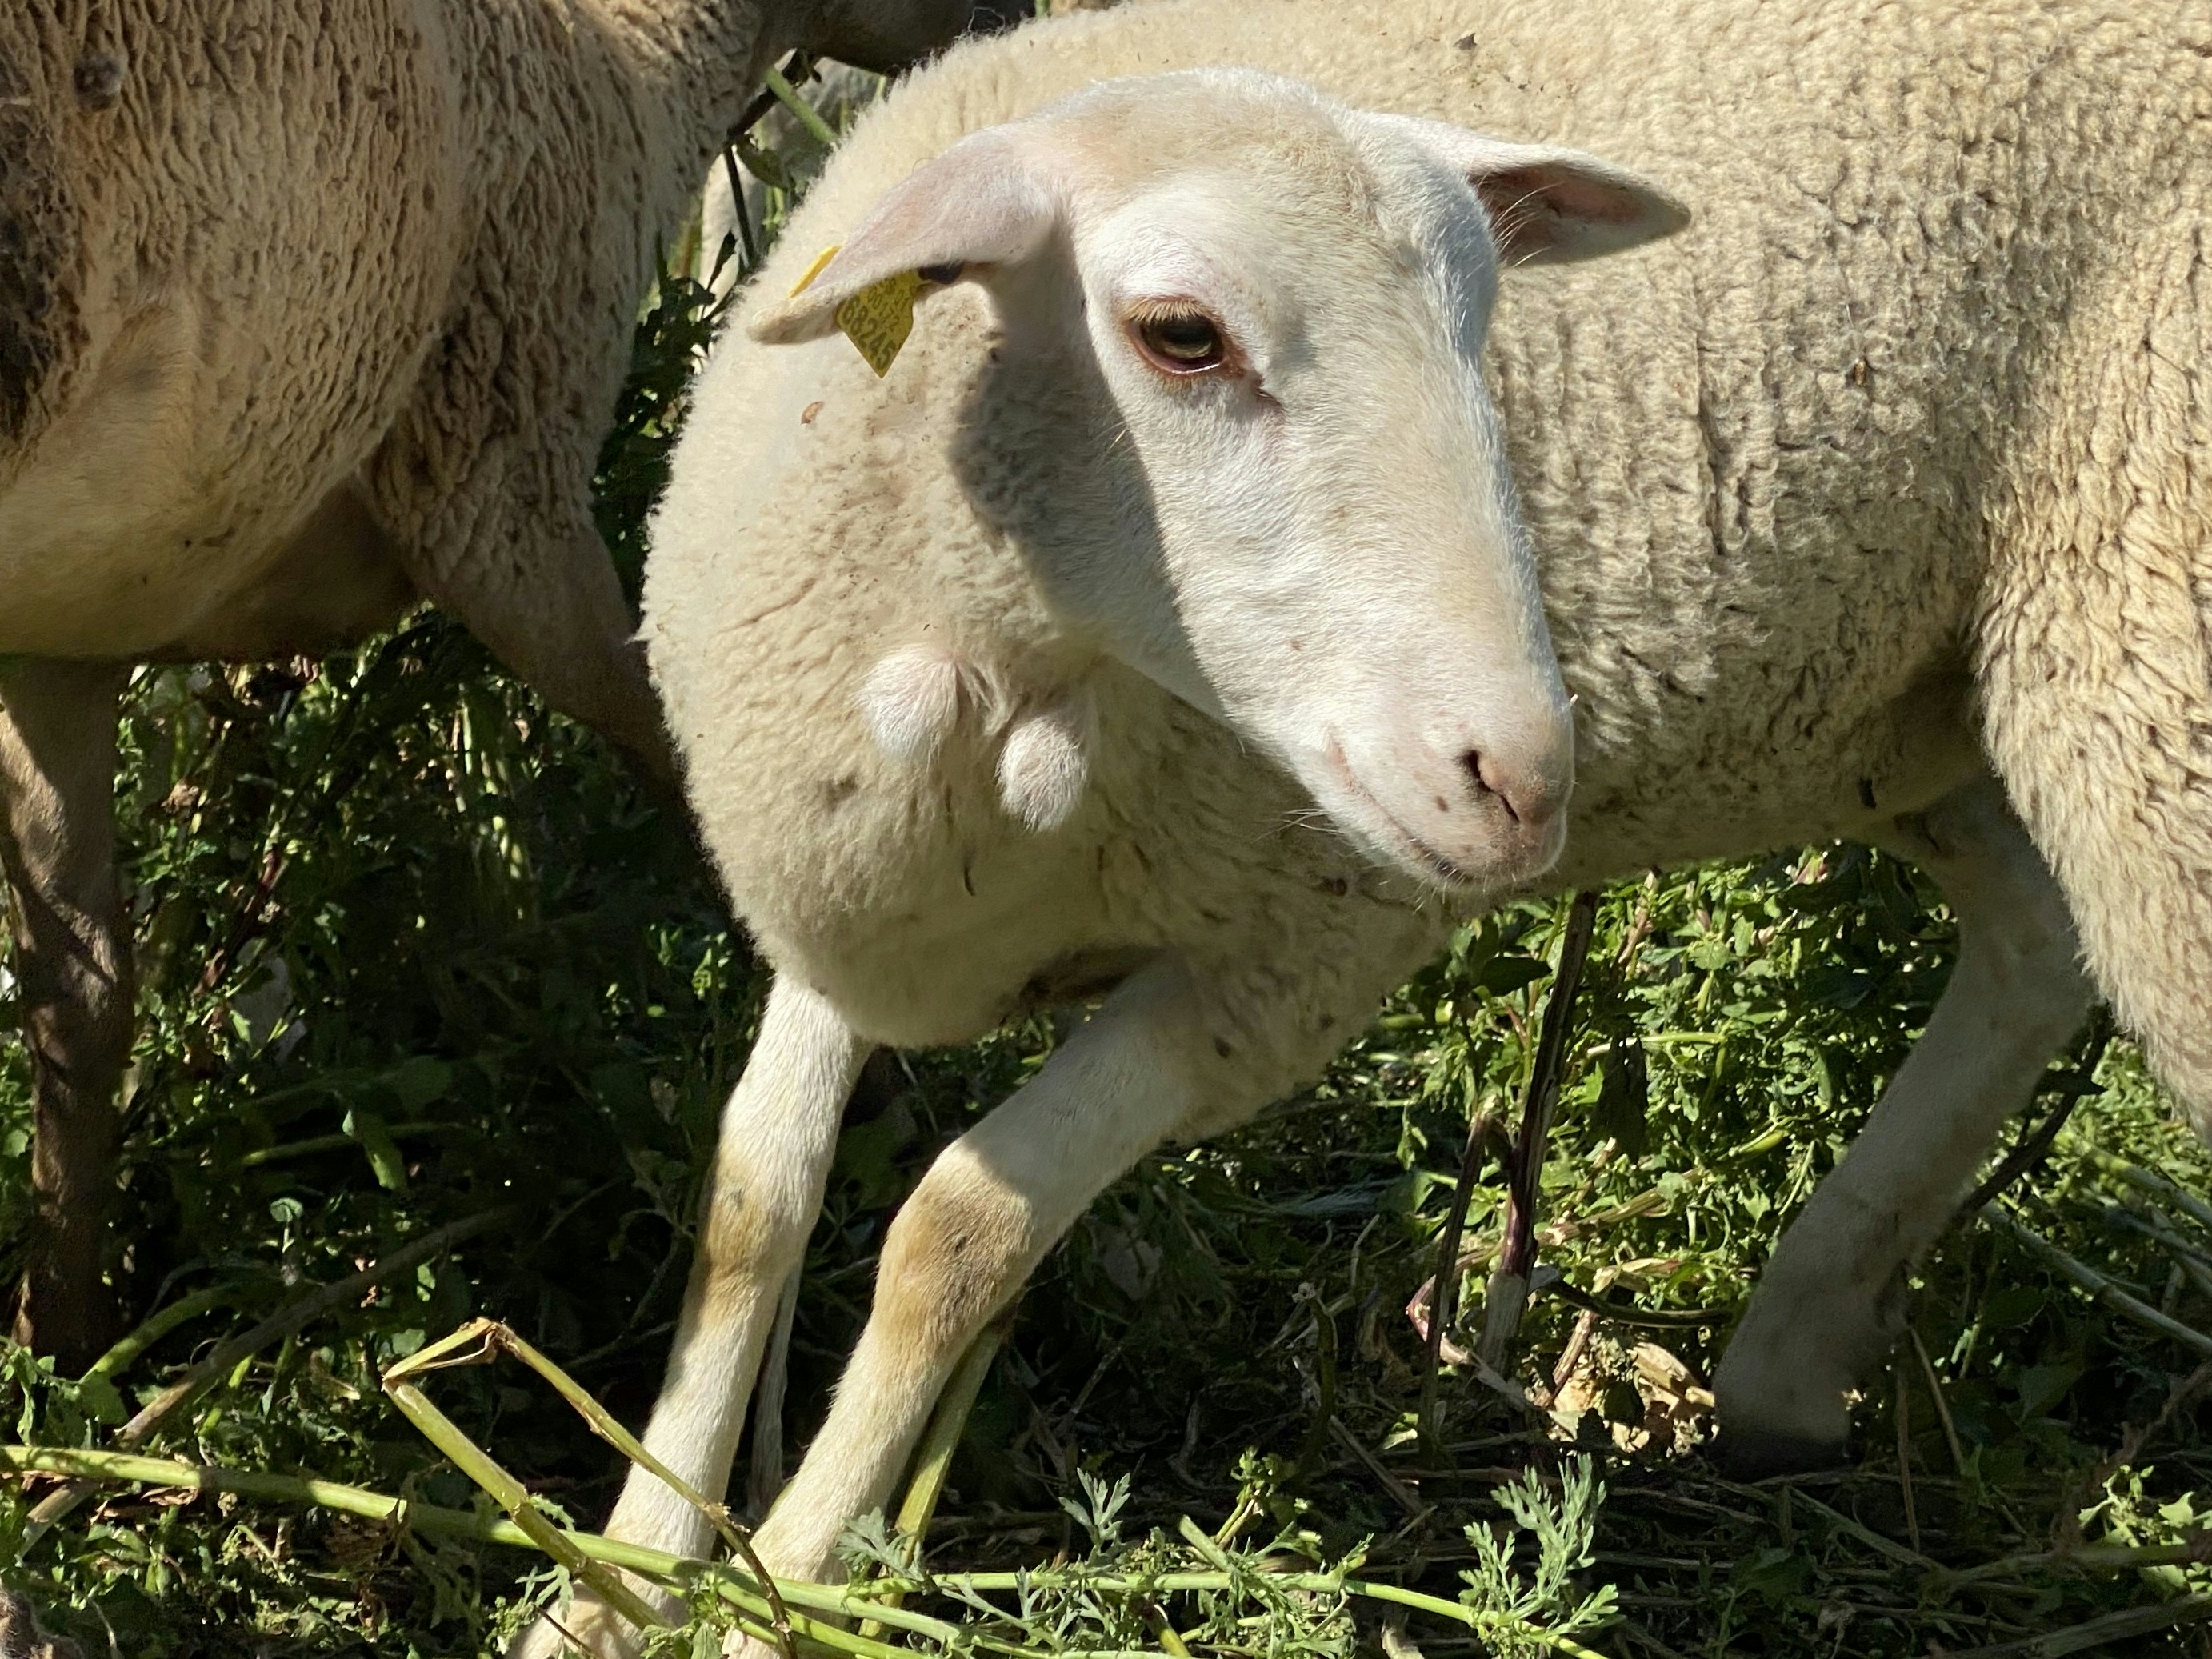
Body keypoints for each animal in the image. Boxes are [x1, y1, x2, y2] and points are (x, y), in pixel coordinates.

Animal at [0, 0, 994, 1370]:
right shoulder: (501, 478)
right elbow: (665, 744)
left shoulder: (68, 632)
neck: (621, 64)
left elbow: (81, 986)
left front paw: (68, 1336)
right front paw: (880, 1090)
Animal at [534, 0, 2210, 1648]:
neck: (1017, 686)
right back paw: (1786, 1369)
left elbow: (952, 1235)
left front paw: (784, 1581)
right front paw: (615, 1579)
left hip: (2142, 666)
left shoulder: (1280, 964)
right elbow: (754, 1191)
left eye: (1486, 327)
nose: (1527, 775)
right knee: (2034, 936)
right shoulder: (845, 890)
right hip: (1907, 717)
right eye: (1181, 334)